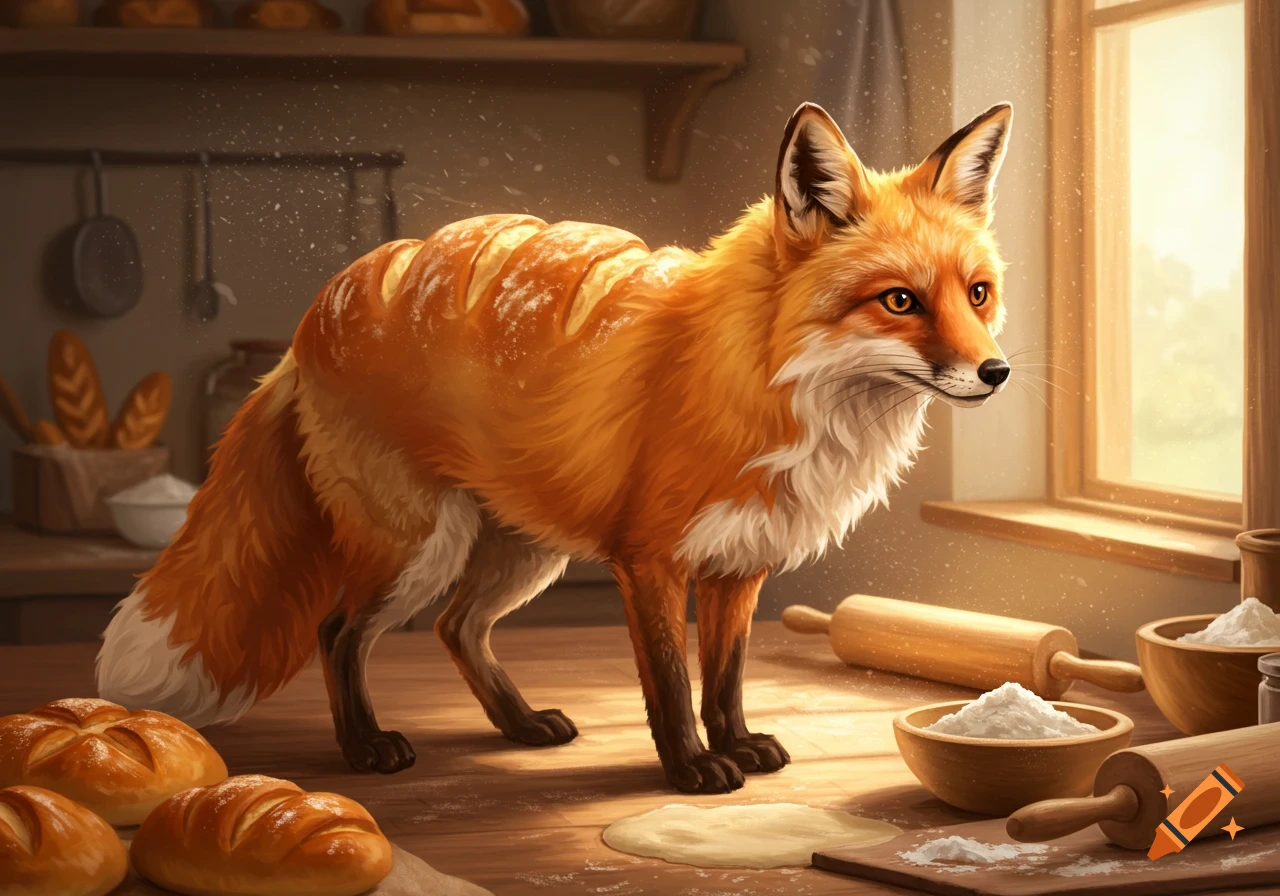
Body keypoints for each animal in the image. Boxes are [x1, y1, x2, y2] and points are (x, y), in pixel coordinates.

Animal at [97, 101, 1013, 793]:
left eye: (977, 294)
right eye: (899, 301)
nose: (996, 372)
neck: (763, 378)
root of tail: (313, 316)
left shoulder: (738, 563)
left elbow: (724, 680)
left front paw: (737, 745)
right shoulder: (650, 560)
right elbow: (671, 684)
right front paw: (691, 770)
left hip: (522, 548)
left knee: (457, 628)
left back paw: (520, 723)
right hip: (417, 548)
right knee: (338, 632)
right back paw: (365, 748)